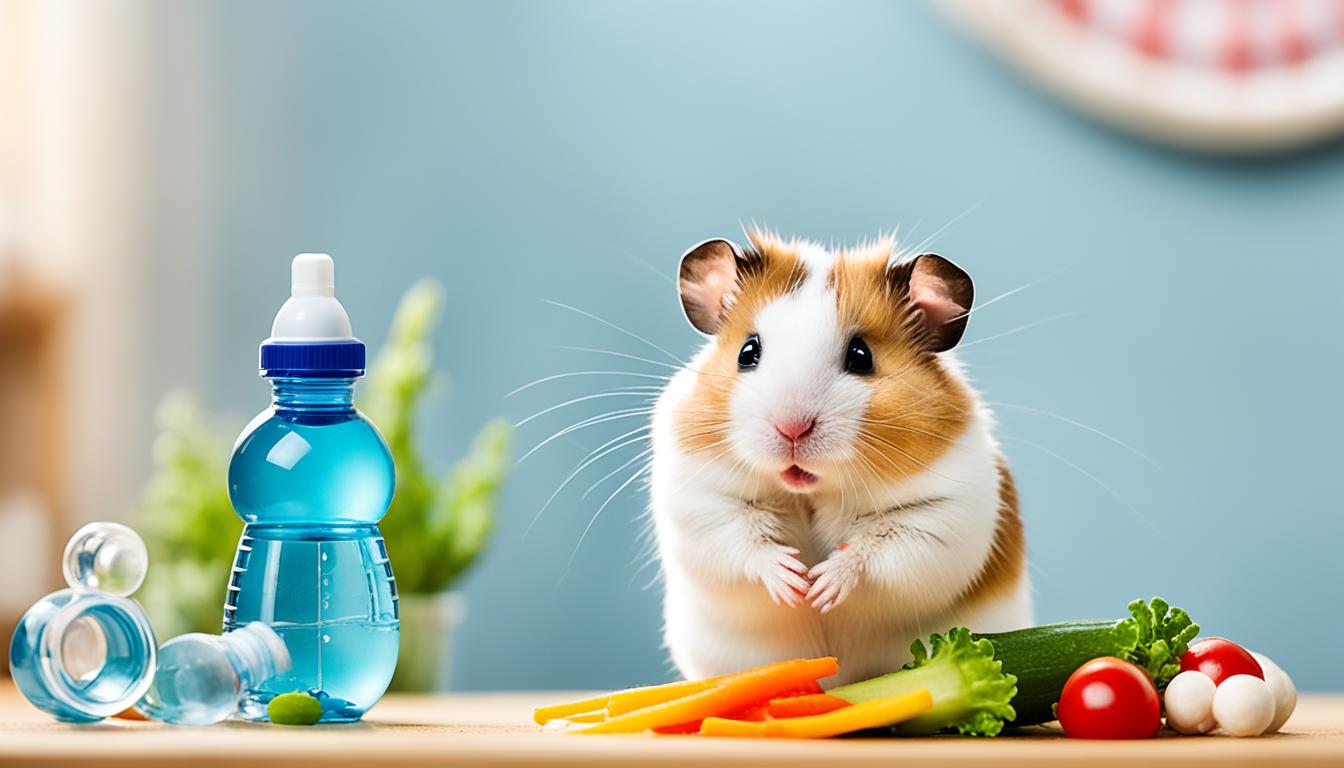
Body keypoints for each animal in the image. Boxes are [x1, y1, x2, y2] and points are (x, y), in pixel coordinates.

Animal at [650, 229, 1031, 686]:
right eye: (747, 352)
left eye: (861, 356)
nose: (791, 428)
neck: (811, 490)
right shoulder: (700, 498)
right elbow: (741, 541)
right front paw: (794, 582)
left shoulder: (941, 514)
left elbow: (875, 552)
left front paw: (820, 586)